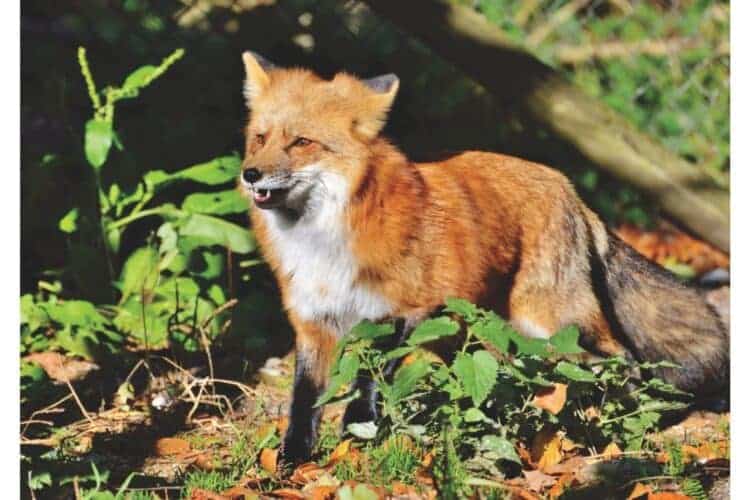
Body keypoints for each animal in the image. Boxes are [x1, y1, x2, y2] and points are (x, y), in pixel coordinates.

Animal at [237, 52, 728, 465]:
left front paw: (358, 436)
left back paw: (619, 417)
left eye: (302, 142)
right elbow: (304, 401)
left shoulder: (405, 312)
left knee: (620, 356)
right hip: (470, 332)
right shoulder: (313, 322)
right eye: (260, 138)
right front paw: (292, 460)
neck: (323, 241)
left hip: (551, 319)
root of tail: (567, 185)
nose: (250, 174)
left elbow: (368, 383)